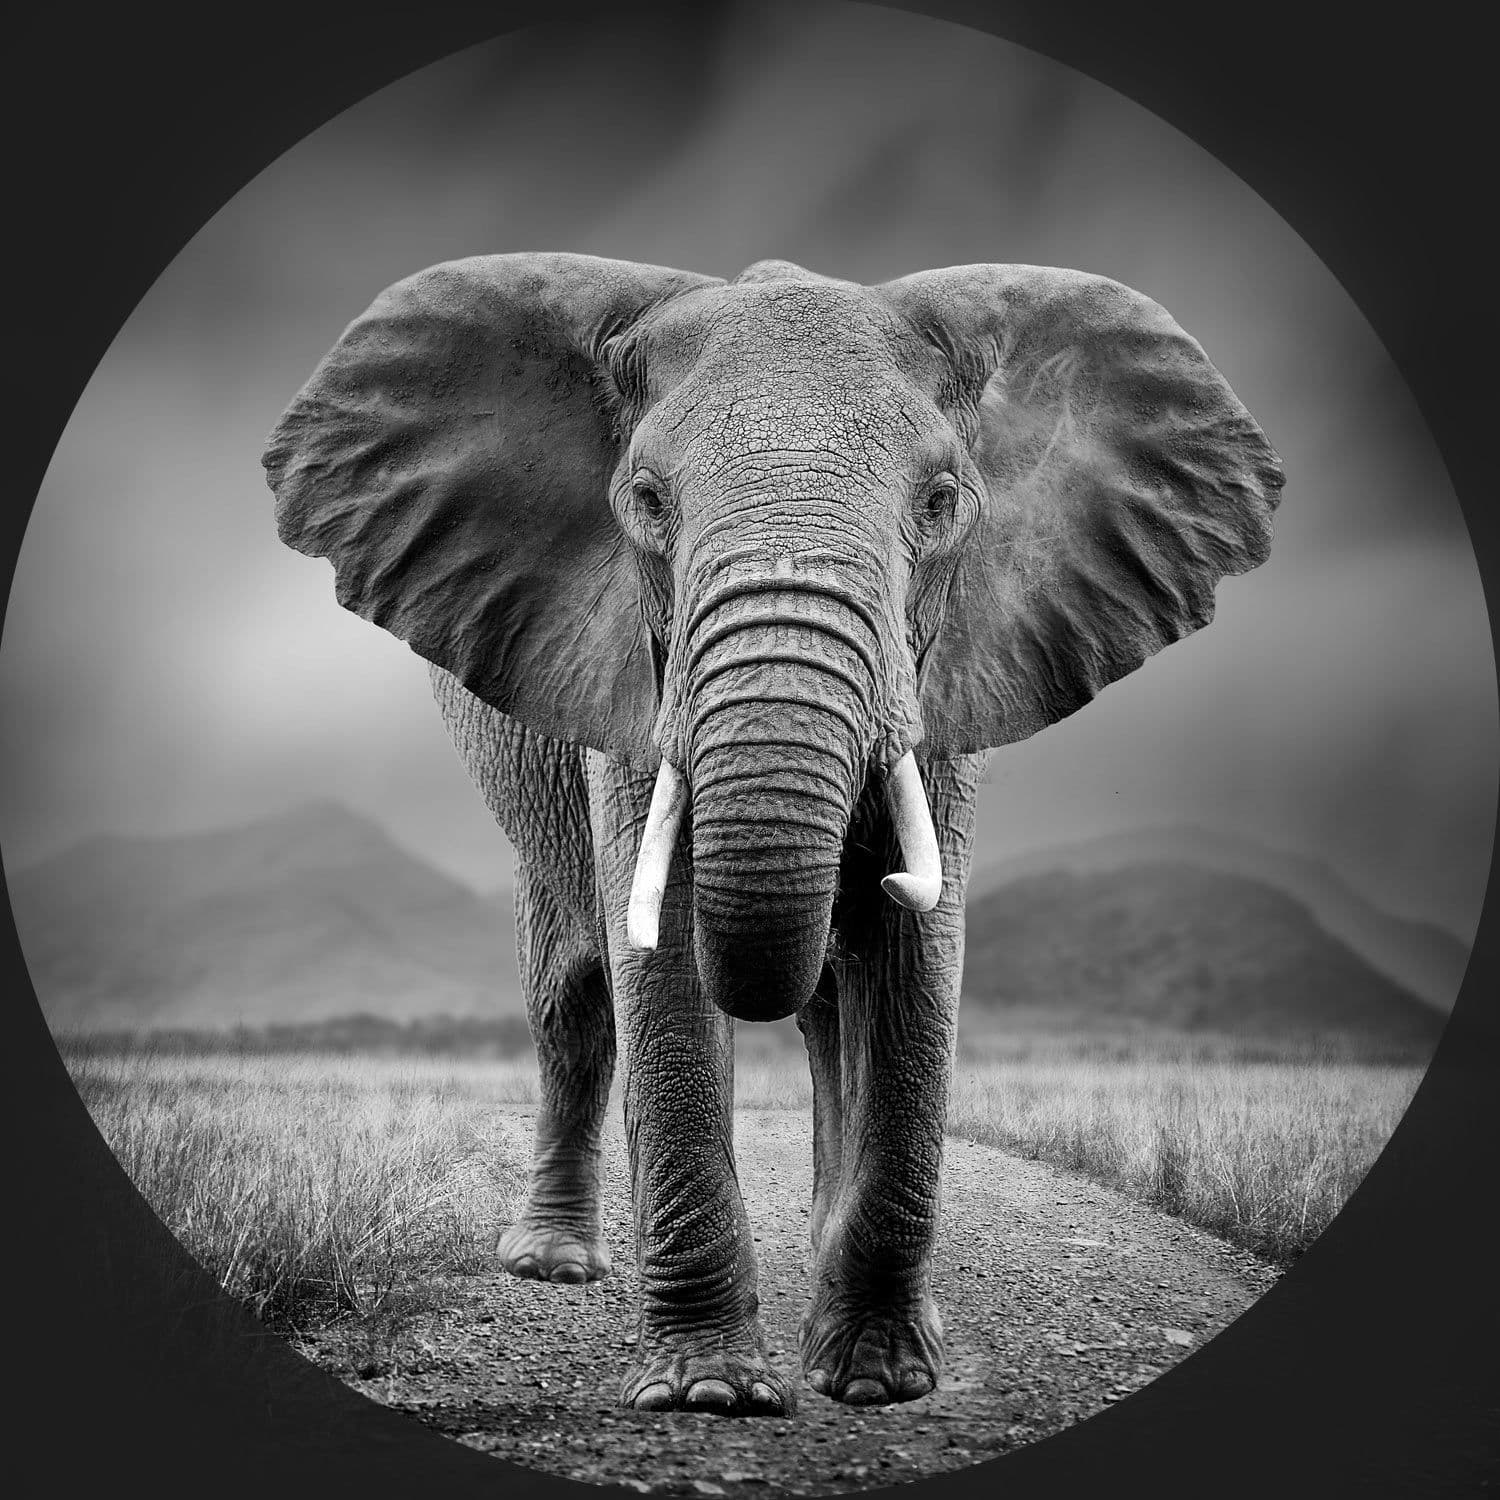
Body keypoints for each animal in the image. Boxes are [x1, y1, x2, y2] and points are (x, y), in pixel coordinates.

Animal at [263, 253, 1283, 1417]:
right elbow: (656, 955)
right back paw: (554, 1265)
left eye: (941, 503)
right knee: (572, 993)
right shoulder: (632, 673)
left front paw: (879, 1380)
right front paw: (710, 1394)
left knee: (832, 1005)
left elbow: (916, 960)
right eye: (646, 502)